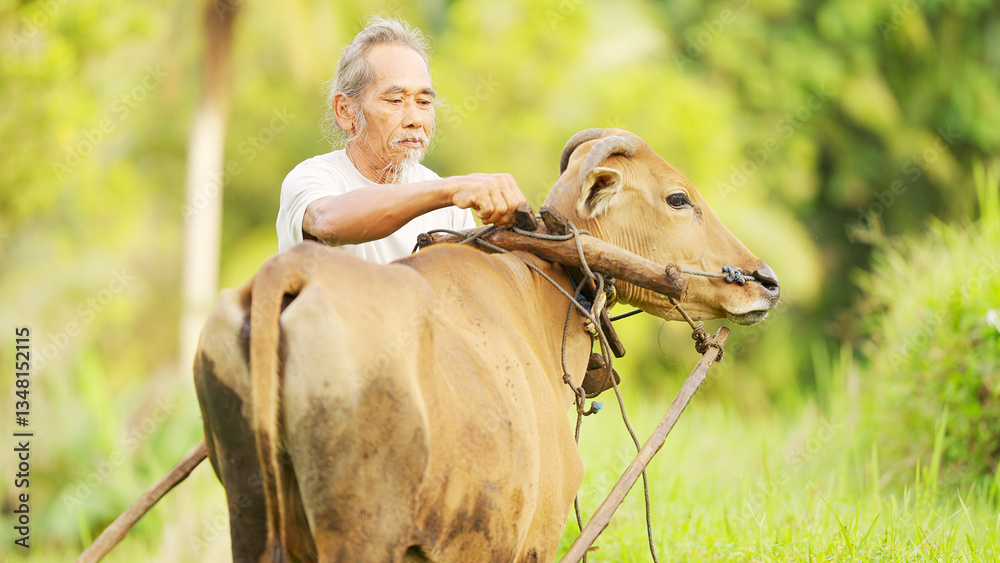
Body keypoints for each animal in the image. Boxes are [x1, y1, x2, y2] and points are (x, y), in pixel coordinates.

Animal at [193, 128, 780, 562]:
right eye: (678, 198)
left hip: (250, 517)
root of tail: (290, 275)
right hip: (360, 533)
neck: (542, 297)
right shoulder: (534, 540)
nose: (765, 280)